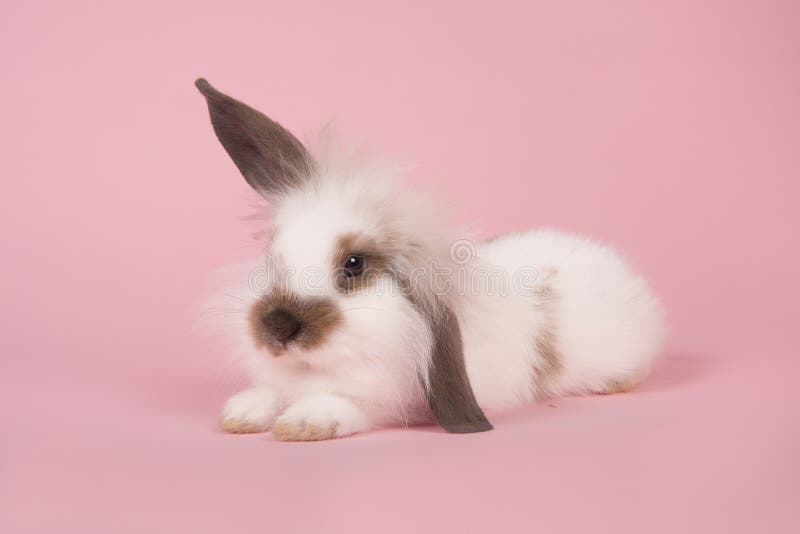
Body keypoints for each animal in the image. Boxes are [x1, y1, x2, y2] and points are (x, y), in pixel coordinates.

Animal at [195, 78, 665, 441]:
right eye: (272, 254)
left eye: (354, 264)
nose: (277, 327)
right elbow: (271, 392)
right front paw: (241, 413)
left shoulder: (394, 400)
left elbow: (350, 404)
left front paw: (307, 422)